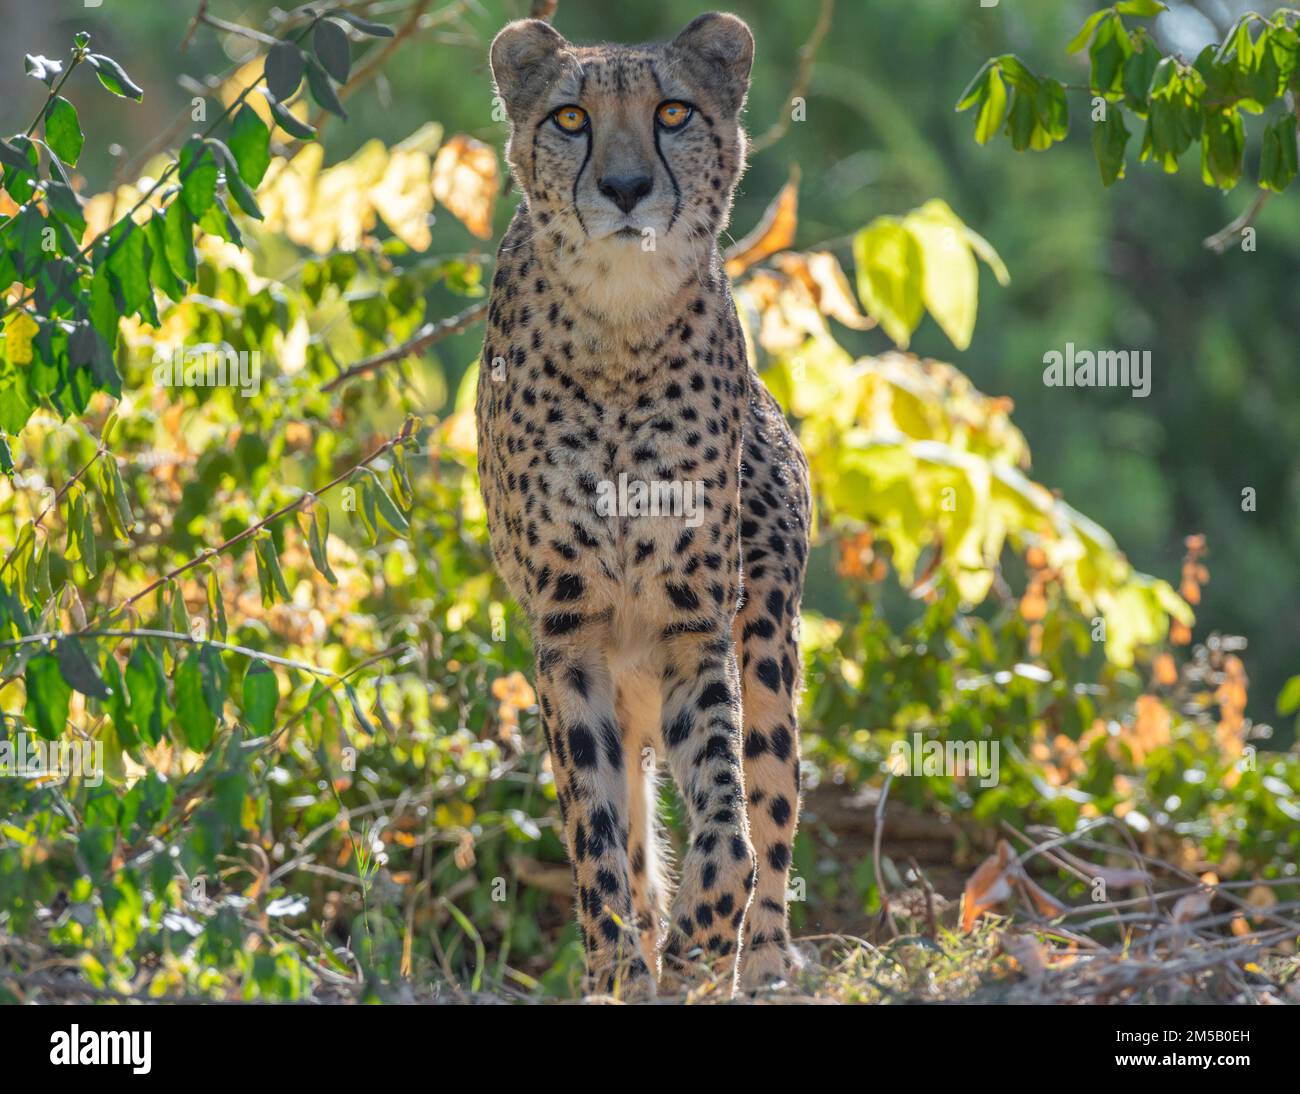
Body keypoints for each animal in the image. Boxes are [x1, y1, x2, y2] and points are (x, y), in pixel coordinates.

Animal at [476, 11, 810, 996]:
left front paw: (710, 926)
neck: (619, 328)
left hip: (766, 631)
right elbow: (598, 843)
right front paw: (620, 971)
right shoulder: (570, 637)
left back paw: (760, 959)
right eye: (571, 119)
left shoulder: (695, 626)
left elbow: (730, 820)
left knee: (773, 789)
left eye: (673, 112)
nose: (625, 188)